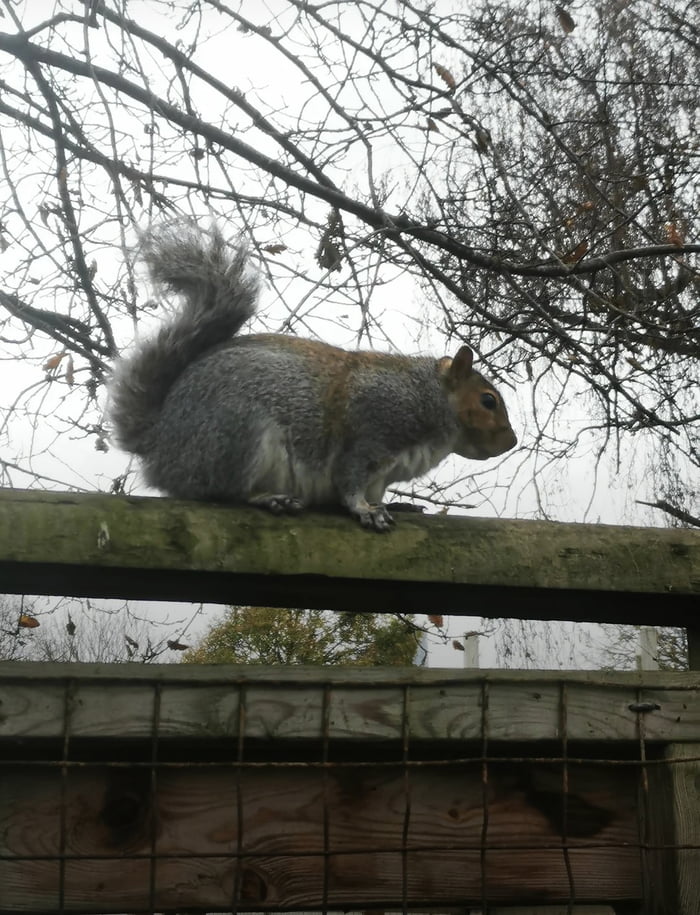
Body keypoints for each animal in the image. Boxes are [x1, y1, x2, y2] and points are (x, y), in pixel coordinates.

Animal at [109, 220, 517, 532]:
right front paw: (364, 510)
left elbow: (375, 492)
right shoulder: (368, 435)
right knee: (224, 490)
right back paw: (269, 498)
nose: (511, 442)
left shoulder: (383, 475)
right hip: (238, 434)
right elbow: (349, 482)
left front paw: (395, 505)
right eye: (488, 401)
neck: (425, 396)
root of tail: (161, 444)